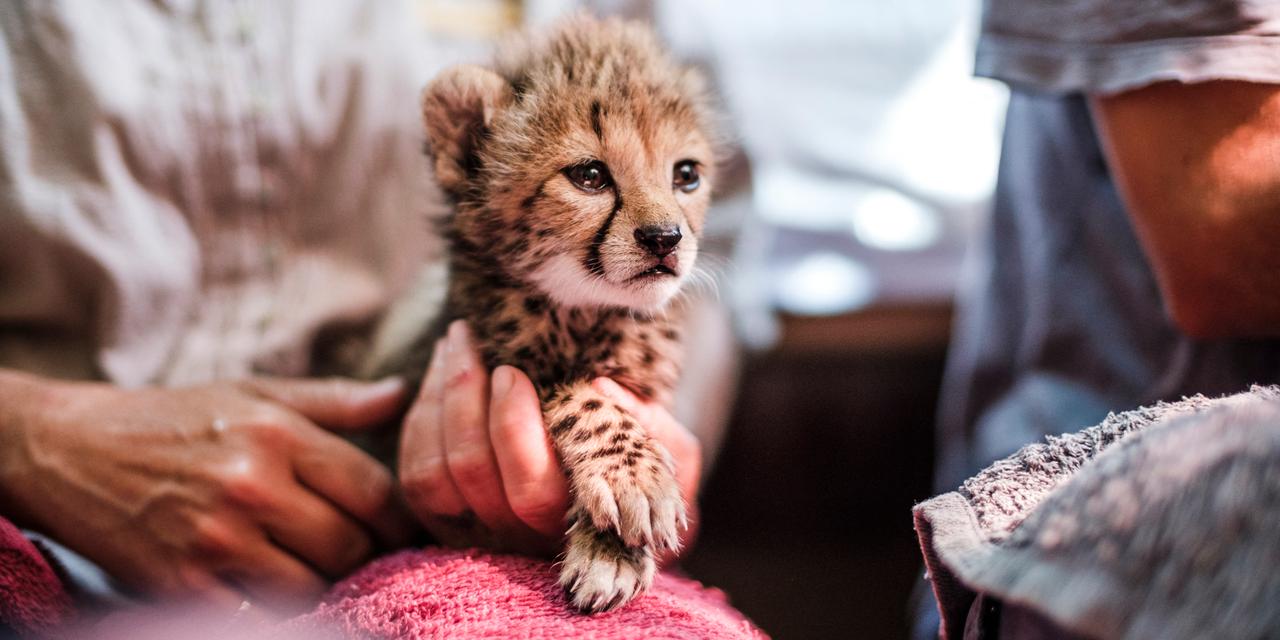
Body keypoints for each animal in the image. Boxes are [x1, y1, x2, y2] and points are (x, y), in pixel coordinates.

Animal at [362, 15, 719, 613]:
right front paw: (633, 482)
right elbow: (579, 393)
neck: (584, 309)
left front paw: (611, 548)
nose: (665, 238)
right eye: (590, 175)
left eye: (686, 175)